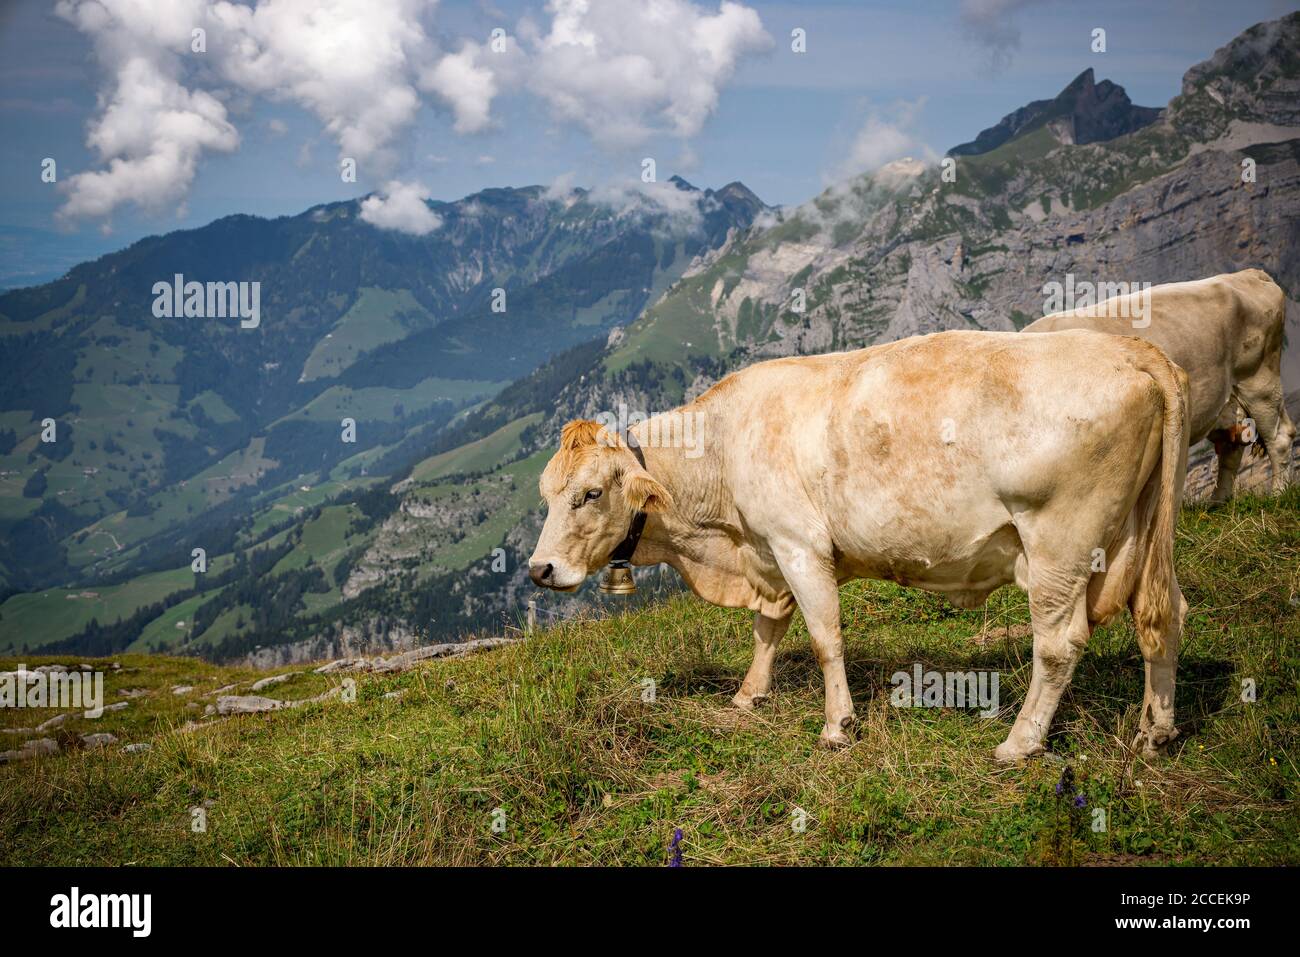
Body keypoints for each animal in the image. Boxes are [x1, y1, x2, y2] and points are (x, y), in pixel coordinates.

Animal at [529, 329, 1190, 762]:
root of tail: (1129, 348)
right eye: (546, 494)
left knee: (1058, 643)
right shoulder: (770, 551)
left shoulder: (797, 544)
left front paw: (836, 726)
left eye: (589, 494)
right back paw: (1155, 732)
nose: (540, 568)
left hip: (1059, 542)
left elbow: (824, 636)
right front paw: (748, 695)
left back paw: (1020, 742)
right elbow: (769, 627)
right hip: (1142, 533)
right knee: (1163, 616)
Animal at [1024, 269, 1293, 502]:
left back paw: (1278, 494)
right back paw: (1218, 503)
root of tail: (1249, 274)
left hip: (1260, 383)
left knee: (1280, 437)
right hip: (1227, 401)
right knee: (1231, 447)